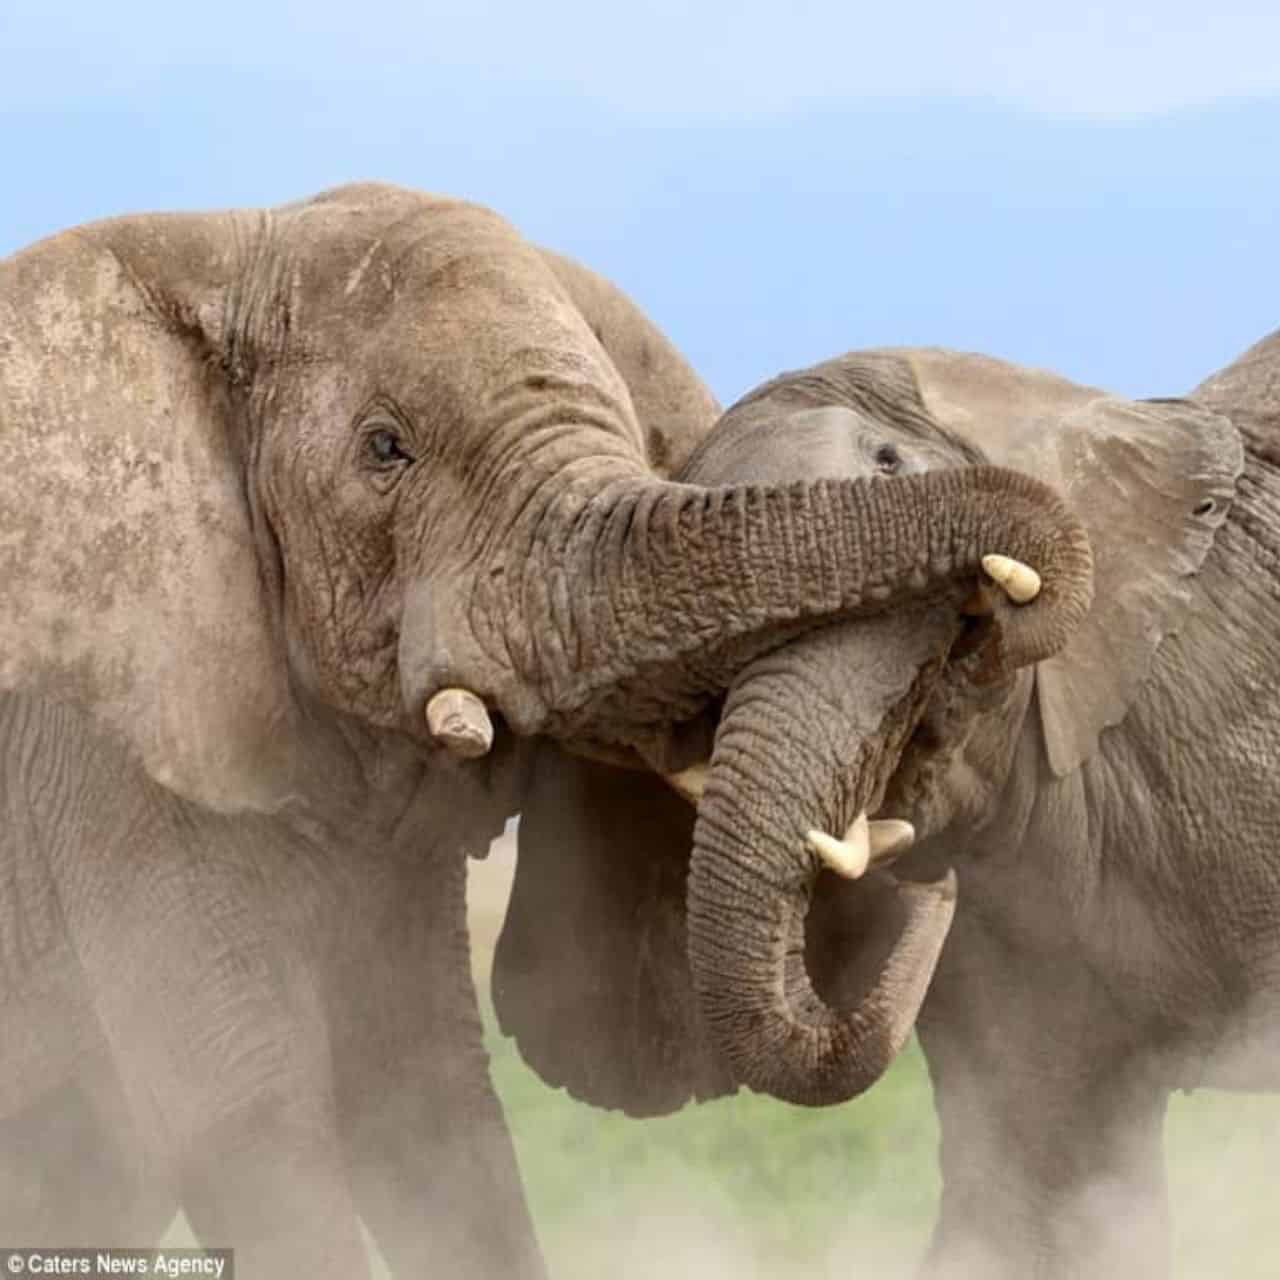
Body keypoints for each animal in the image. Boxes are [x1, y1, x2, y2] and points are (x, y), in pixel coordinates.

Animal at [0, 184, 1093, 1277]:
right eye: (384, 448)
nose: (930, 886)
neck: (222, 249)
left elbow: (434, 1096)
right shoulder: (103, 743)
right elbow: (248, 1115)